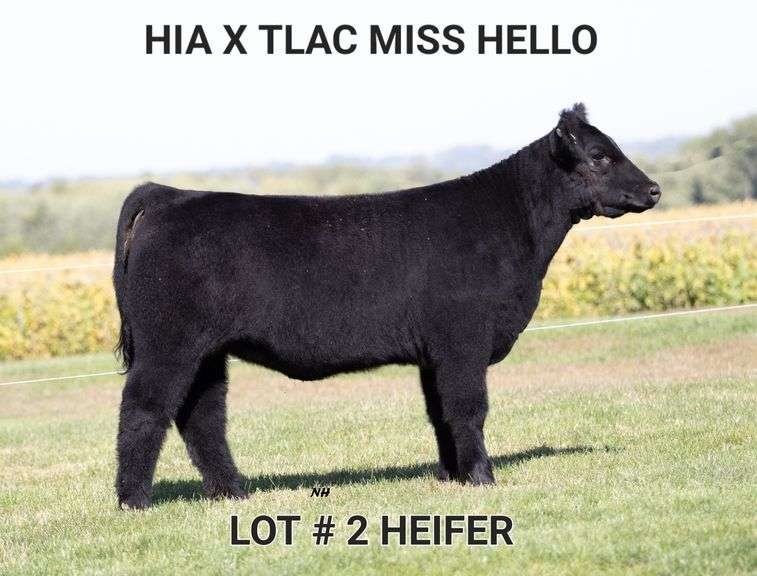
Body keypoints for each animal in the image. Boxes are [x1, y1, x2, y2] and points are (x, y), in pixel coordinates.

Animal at [113, 104, 660, 509]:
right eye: (600, 155)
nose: (653, 189)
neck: (515, 228)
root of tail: (169, 193)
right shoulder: (463, 340)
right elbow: (469, 407)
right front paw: (482, 478)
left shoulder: (434, 352)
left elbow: (440, 412)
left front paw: (452, 477)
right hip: (169, 343)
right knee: (144, 408)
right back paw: (134, 501)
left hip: (207, 351)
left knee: (202, 417)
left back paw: (232, 493)